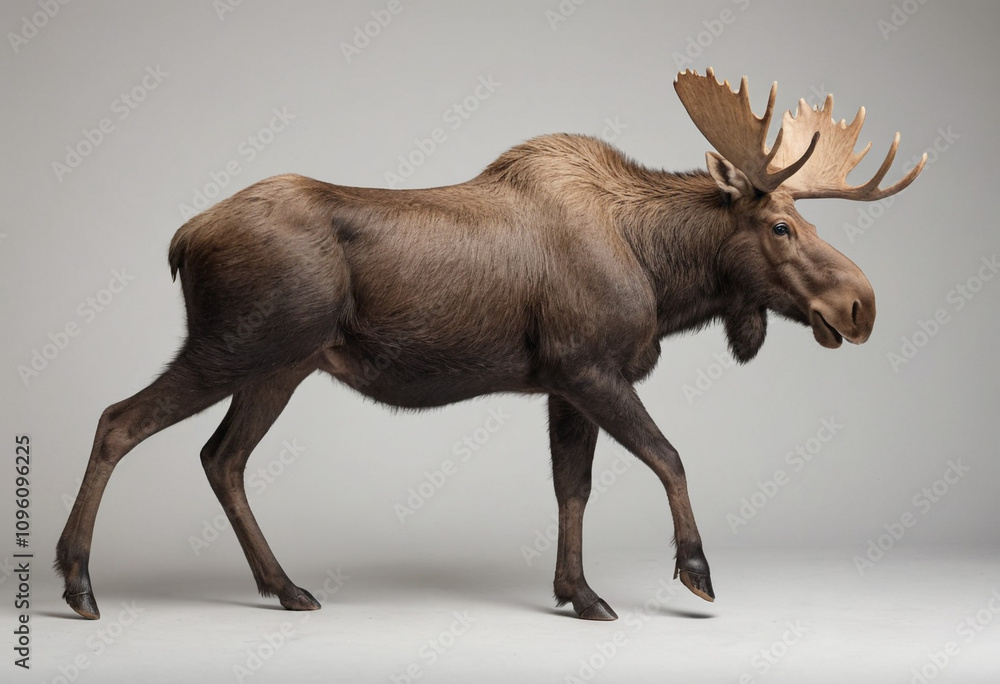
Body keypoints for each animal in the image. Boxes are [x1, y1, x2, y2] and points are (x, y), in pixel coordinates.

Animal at [56, 68, 925, 621]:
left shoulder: (563, 383)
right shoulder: (590, 364)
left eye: (805, 219)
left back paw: (287, 587)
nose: (862, 306)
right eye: (779, 225)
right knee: (118, 421)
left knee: (221, 457)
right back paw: (79, 583)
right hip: (235, 346)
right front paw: (695, 572)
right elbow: (669, 457)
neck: (661, 271)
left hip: (281, 365)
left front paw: (580, 593)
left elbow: (572, 488)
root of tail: (182, 240)